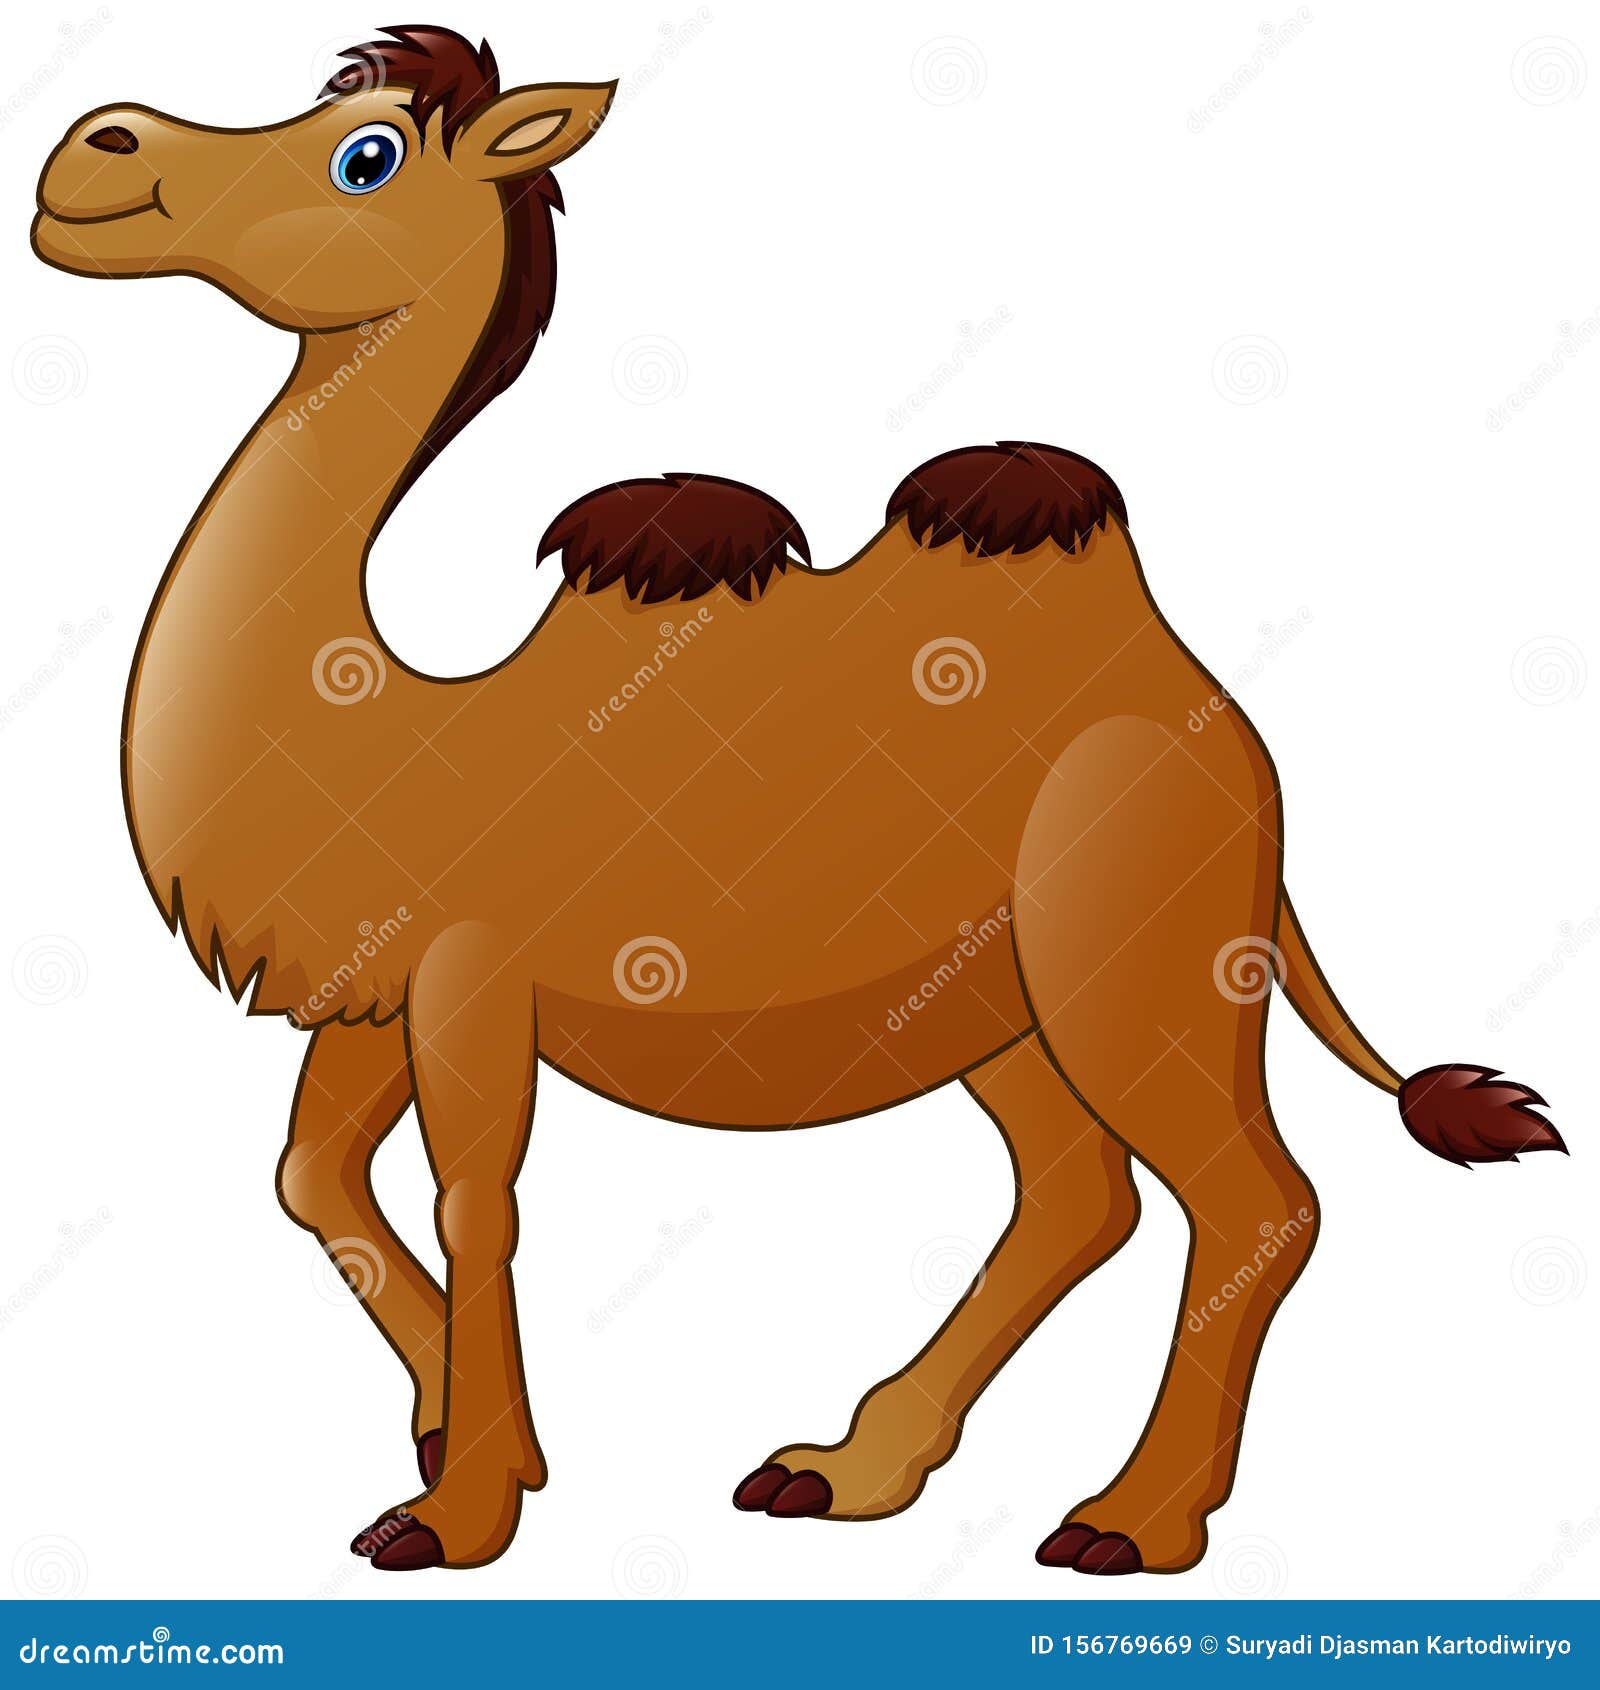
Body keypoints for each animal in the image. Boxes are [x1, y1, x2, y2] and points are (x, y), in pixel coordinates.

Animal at [33, 25, 1564, 1576]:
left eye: (368, 154)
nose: (98, 144)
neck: (391, 725)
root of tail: (1213, 706)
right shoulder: (377, 996)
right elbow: (314, 1177)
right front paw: (469, 1440)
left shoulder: (469, 978)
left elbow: (476, 1202)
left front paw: (450, 1515)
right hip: (994, 994)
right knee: (1079, 1189)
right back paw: (841, 1469)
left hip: (1136, 930)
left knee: (1254, 1197)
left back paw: (1126, 1521)